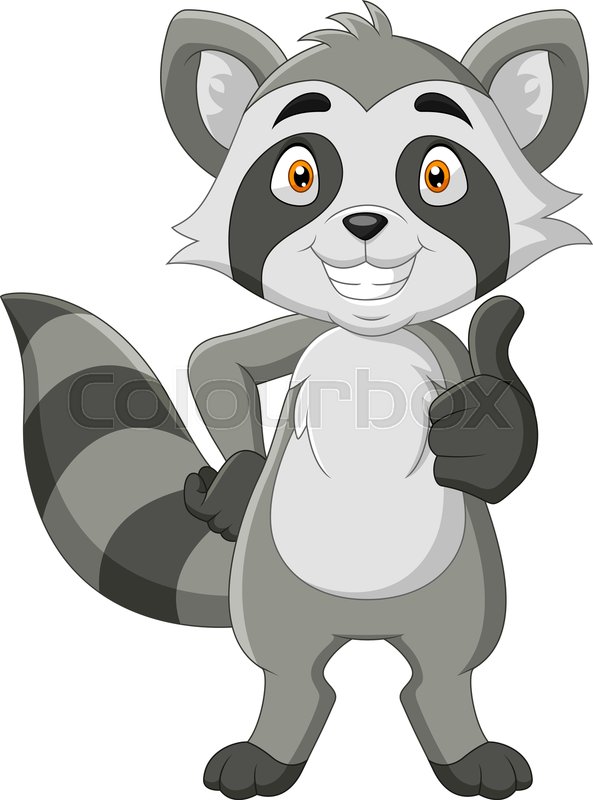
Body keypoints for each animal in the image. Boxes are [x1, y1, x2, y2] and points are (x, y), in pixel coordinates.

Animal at [3, 4, 588, 798]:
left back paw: (466, 754)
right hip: (272, 591)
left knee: (440, 675)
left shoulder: (439, 344)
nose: (365, 223)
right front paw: (239, 481)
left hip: (457, 594)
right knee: (296, 678)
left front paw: (486, 427)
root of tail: (365, 623)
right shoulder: (308, 334)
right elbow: (216, 358)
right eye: (299, 173)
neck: (369, 337)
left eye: (437, 174)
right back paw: (267, 752)